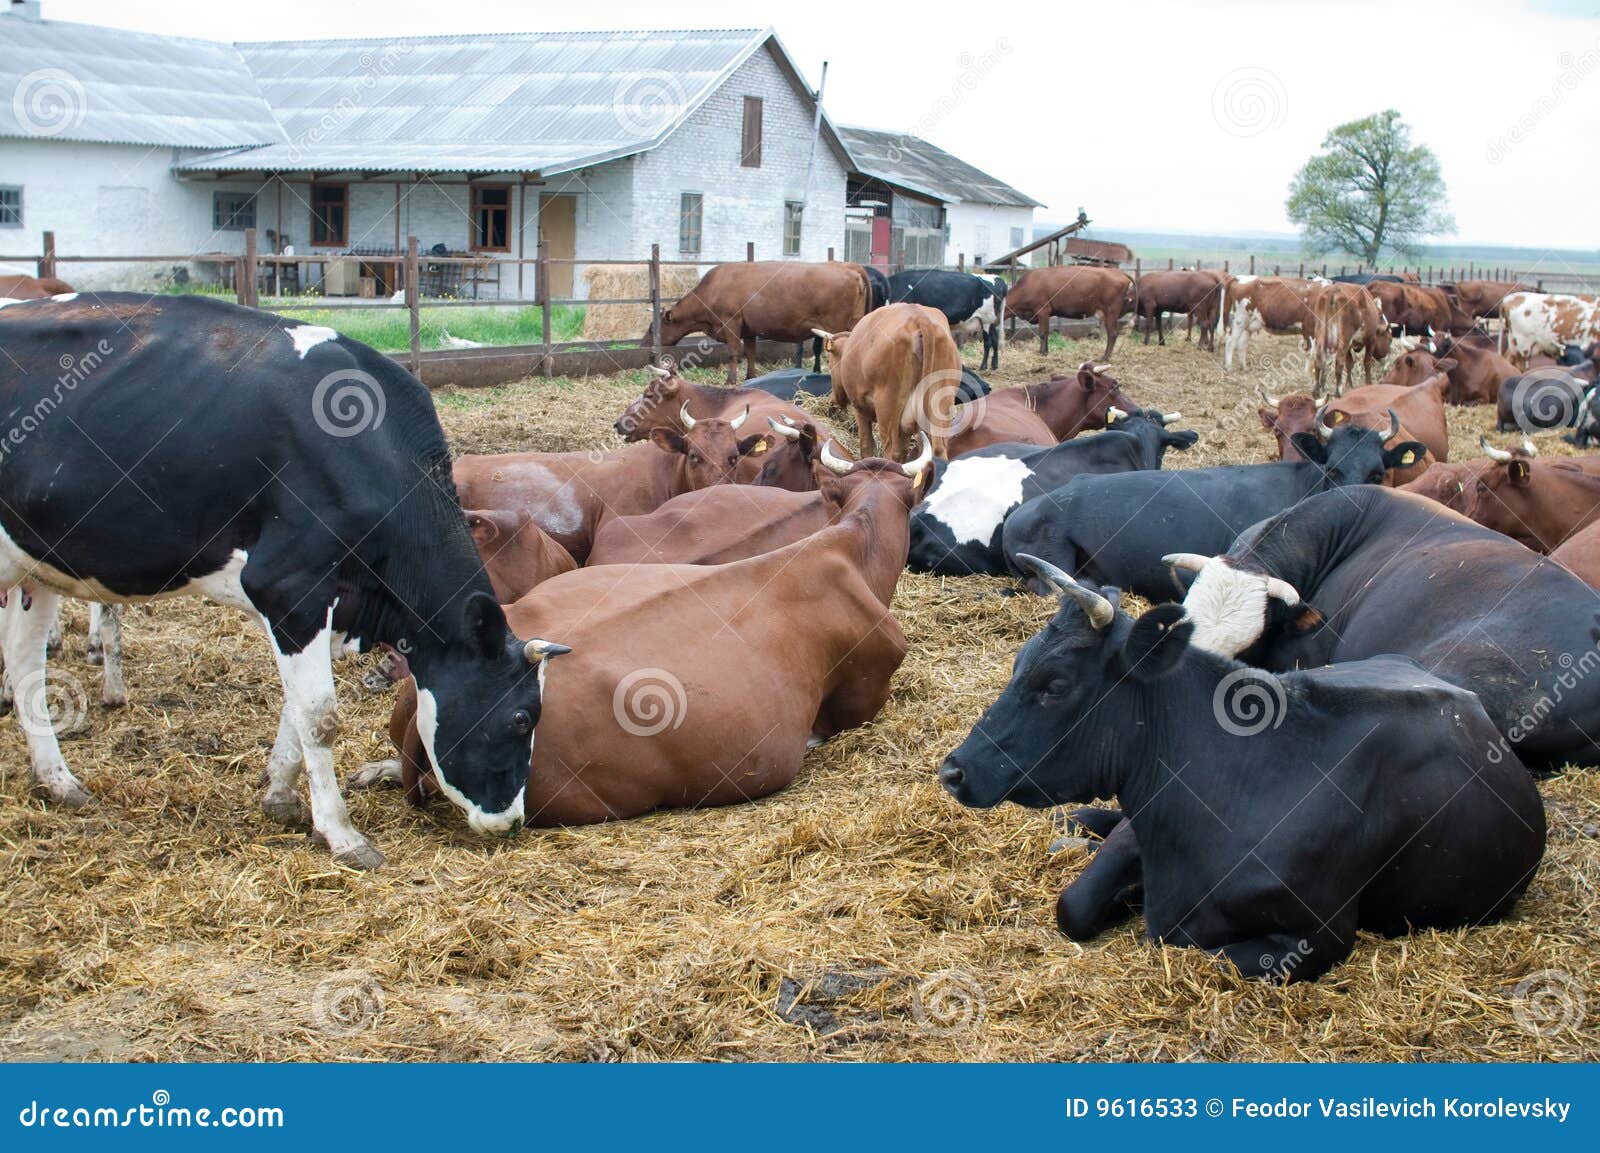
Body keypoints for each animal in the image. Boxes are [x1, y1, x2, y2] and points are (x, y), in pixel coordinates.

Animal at [0, 293, 568, 868]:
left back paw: (58, 781)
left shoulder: (328, 607)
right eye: (522, 718)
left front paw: (281, 796)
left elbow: (294, 708)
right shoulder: (290, 589)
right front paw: (341, 833)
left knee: (26, 666)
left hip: (33, 569)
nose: (510, 823)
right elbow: (319, 716)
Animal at [643, 261, 870, 385]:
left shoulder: (731, 323)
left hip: (836, 326)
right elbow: (750, 353)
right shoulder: (749, 329)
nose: (645, 346)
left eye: (653, 328)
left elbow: (733, 352)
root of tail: (851, 269)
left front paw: (730, 380)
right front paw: (750, 376)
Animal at [813, 302, 962, 461]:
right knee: (938, 449)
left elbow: (866, 445)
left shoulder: (859, 408)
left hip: (886, 406)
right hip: (940, 406)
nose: (831, 402)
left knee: (891, 452)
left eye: (830, 363)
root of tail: (918, 316)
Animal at [937, 554, 1544, 981]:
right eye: (1019, 664)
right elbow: (1073, 907)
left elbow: (1204, 953)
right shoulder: (1141, 839)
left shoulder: (1316, 937)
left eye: (1055, 684)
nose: (954, 771)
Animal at [1003, 265, 1133, 360]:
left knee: (1112, 333)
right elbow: (1046, 333)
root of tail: (1119, 272)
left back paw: (1105, 357)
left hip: (1111, 311)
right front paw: (1045, 351)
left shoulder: (1043, 311)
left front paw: (1042, 353)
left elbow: (1043, 333)